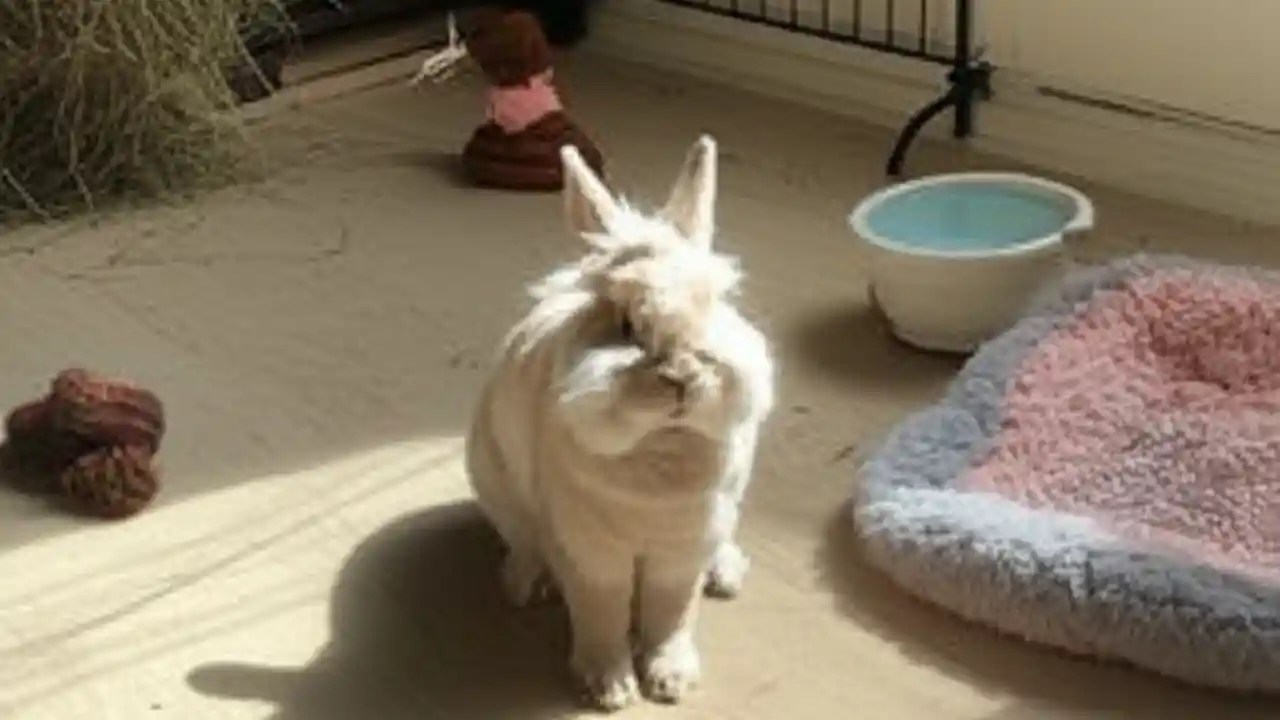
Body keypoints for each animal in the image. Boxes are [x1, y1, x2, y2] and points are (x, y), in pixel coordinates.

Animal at [465, 136, 775, 711]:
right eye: (629, 326)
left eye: (716, 305)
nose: (683, 377)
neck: (662, 444)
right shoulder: (592, 554)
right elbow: (602, 614)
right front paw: (609, 689)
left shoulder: (684, 550)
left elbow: (671, 613)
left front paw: (670, 681)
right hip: (495, 487)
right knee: (523, 542)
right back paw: (525, 585)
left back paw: (726, 574)